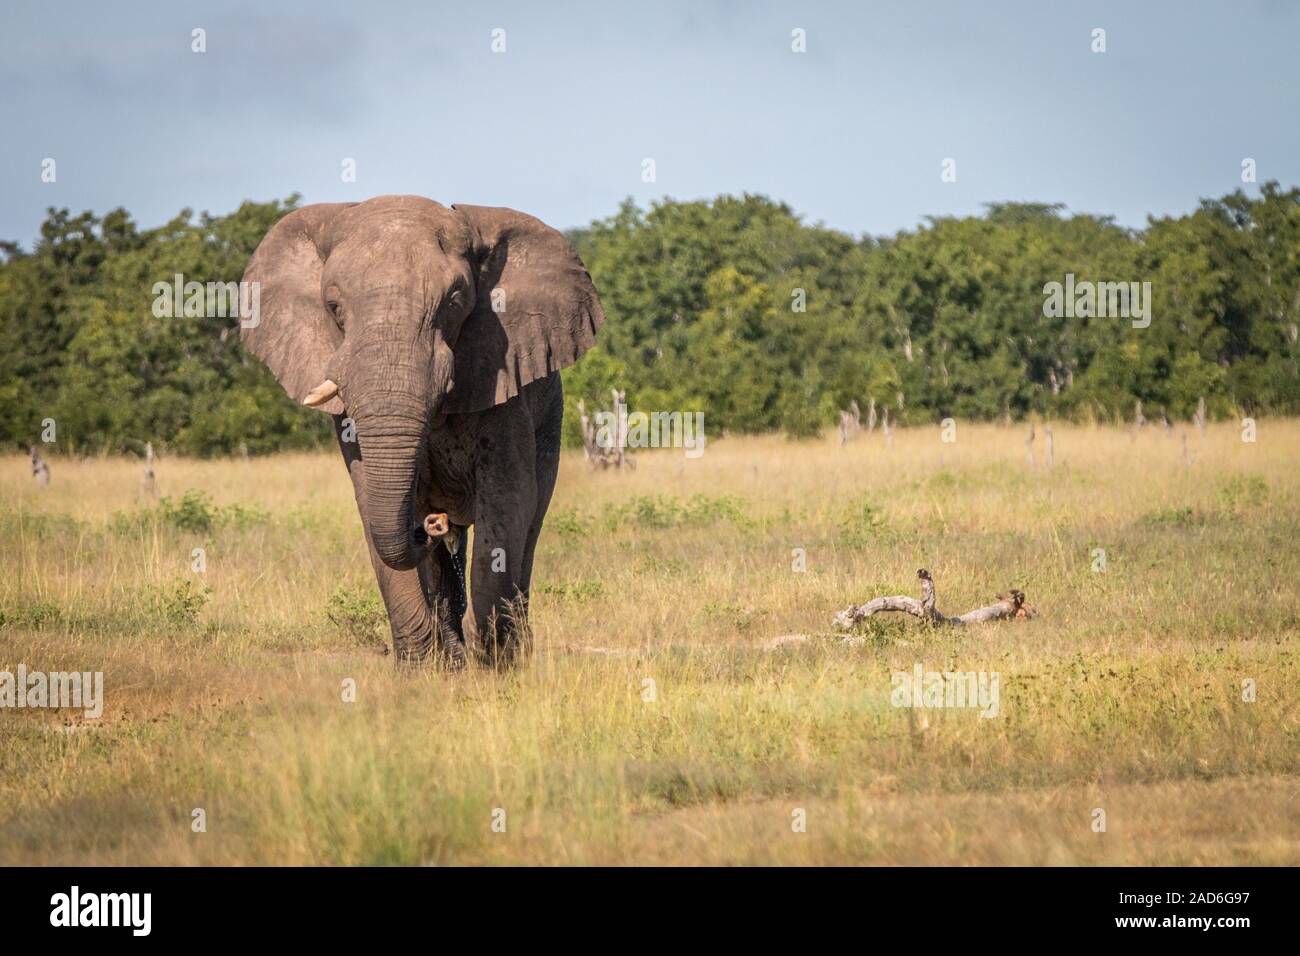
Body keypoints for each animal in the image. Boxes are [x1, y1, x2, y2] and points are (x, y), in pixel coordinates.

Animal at [240, 196, 604, 668]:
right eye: (333, 307)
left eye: (455, 300)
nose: (433, 521)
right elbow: (372, 506)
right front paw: (419, 670)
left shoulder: (502, 376)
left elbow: (507, 504)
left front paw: (497, 665)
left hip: (551, 418)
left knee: (530, 526)